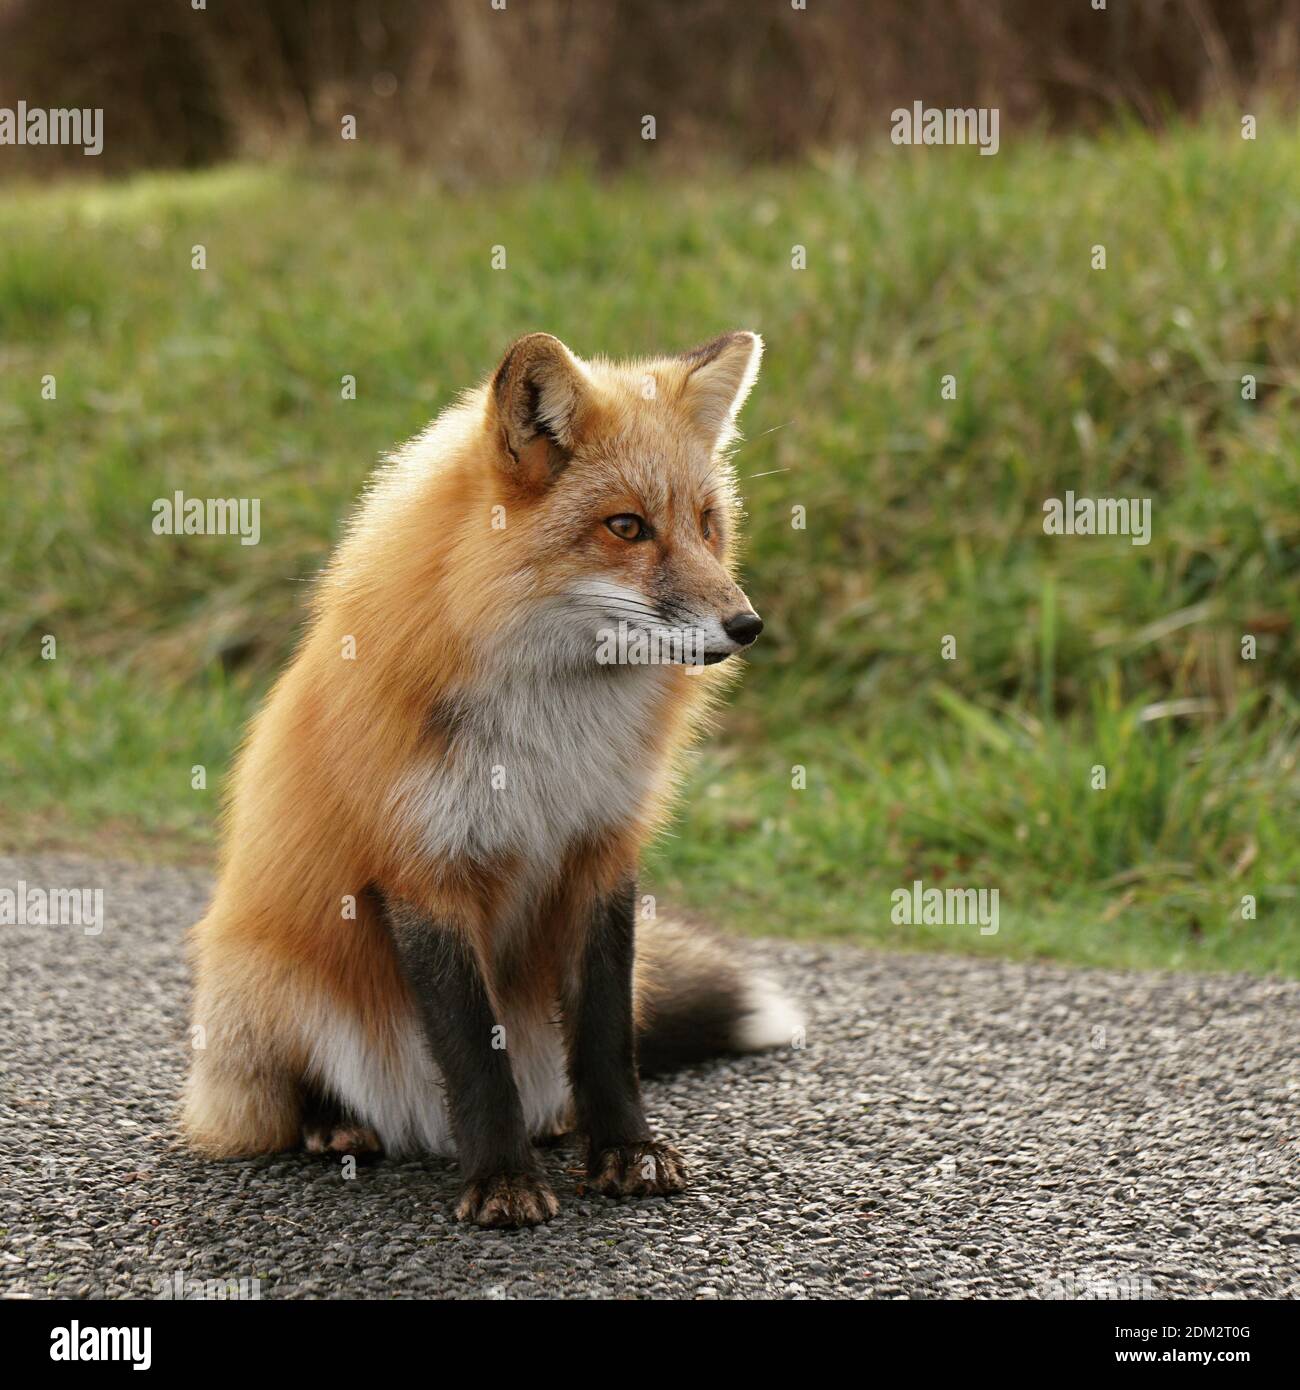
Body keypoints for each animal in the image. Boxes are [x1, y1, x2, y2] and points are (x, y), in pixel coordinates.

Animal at [181, 329, 802, 1228]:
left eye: (708, 525)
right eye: (627, 526)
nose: (746, 625)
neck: (549, 743)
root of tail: (413, 1124)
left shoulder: (599, 853)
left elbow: (607, 1038)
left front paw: (626, 1150)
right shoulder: (424, 872)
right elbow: (475, 1052)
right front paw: (503, 1179)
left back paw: (558, 1124)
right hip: (265, 983)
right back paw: (338, 1125)